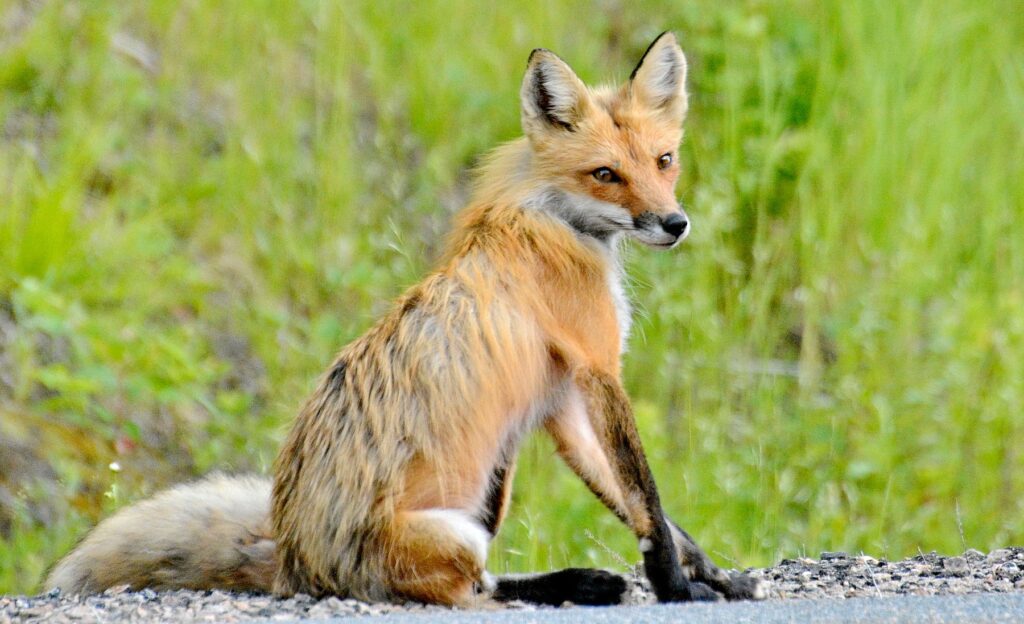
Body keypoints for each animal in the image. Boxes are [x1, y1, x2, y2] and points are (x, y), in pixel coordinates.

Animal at [46, 32, 766, 607]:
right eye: (606, 174)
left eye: (664, 161)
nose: (674, 224)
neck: (556, 223)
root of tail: (297, 563)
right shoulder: (597, 371)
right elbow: (648, 503)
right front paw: (678, 590)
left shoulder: (563, 406)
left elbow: (655, 514)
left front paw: (715, 576)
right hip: (459, 527)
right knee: (472, 596)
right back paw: (569, 588)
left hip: (490, 489)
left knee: (486, 582)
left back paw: (580, 583)